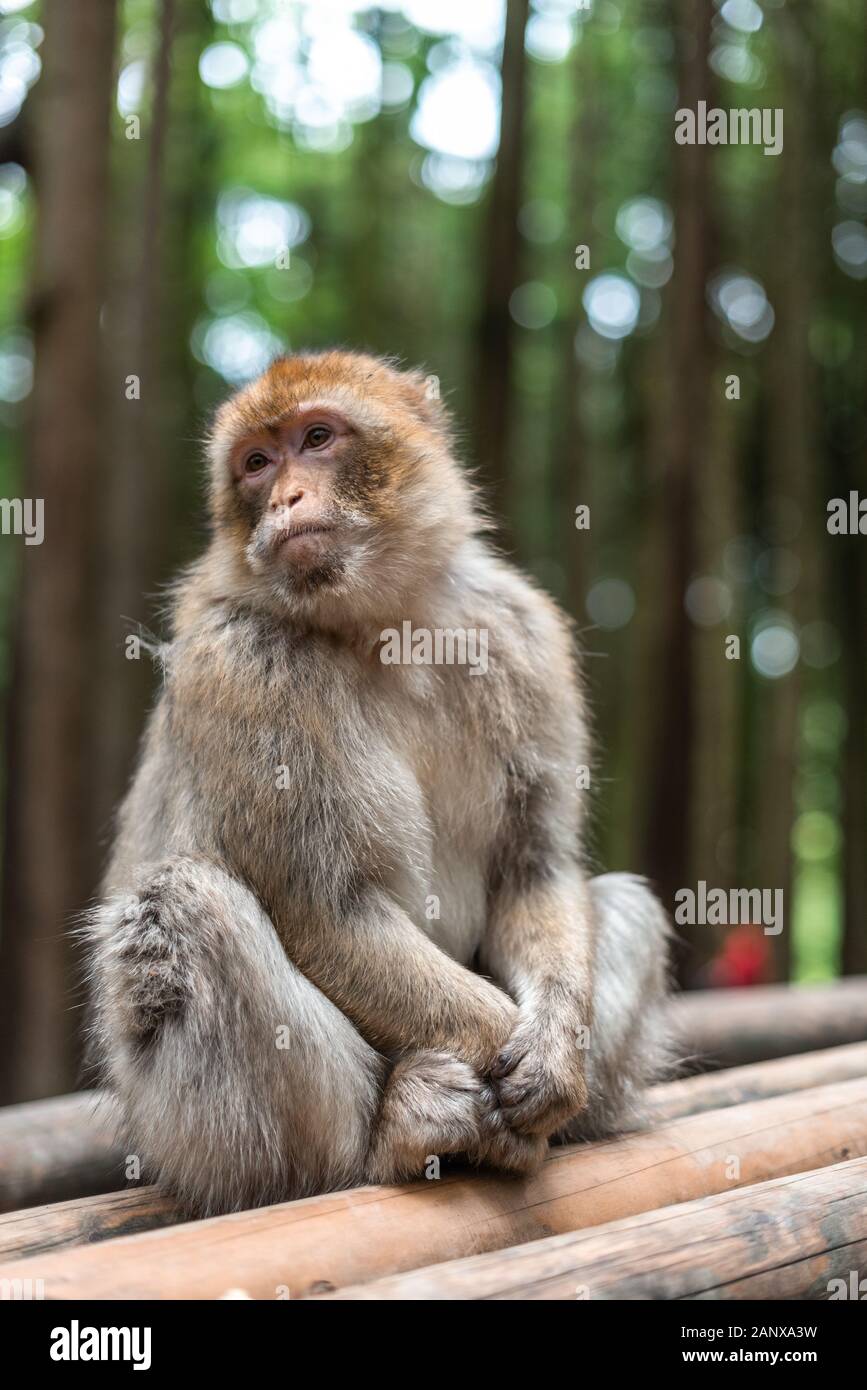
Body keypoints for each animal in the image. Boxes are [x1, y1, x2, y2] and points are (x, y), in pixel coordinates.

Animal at [85, 351, 671, 1216]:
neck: (386, 623)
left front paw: (554, 1059)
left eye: (316, 439)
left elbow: (532, 866)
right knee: (184, 908)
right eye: (255, 463)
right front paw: (497, 1055)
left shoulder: (521, 633)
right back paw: (390, 1137)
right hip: (185, 1139)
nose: (285, 498)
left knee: (623, 903)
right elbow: (326, 907)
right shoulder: (239, 659)